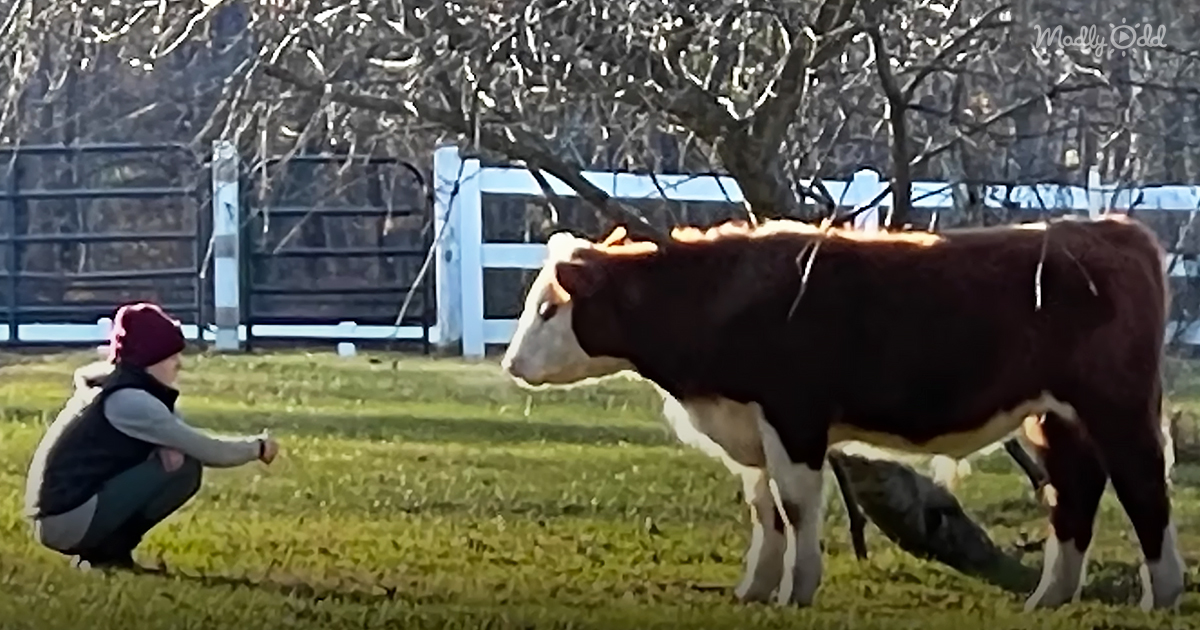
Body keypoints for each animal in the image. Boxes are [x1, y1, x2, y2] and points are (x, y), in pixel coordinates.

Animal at [499, 214, 1185, 612]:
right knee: (1073, 497)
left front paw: (794, 592)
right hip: (1054, 418)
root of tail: (1109, 228)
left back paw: (1162, 596)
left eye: (548, 310)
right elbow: (764, 510)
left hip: (1117, 408)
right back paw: (1049, 599)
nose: (510, 363)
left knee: (1144, 492)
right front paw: (753, 589)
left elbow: (797, 508)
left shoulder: (794, 417)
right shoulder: (751, 428)